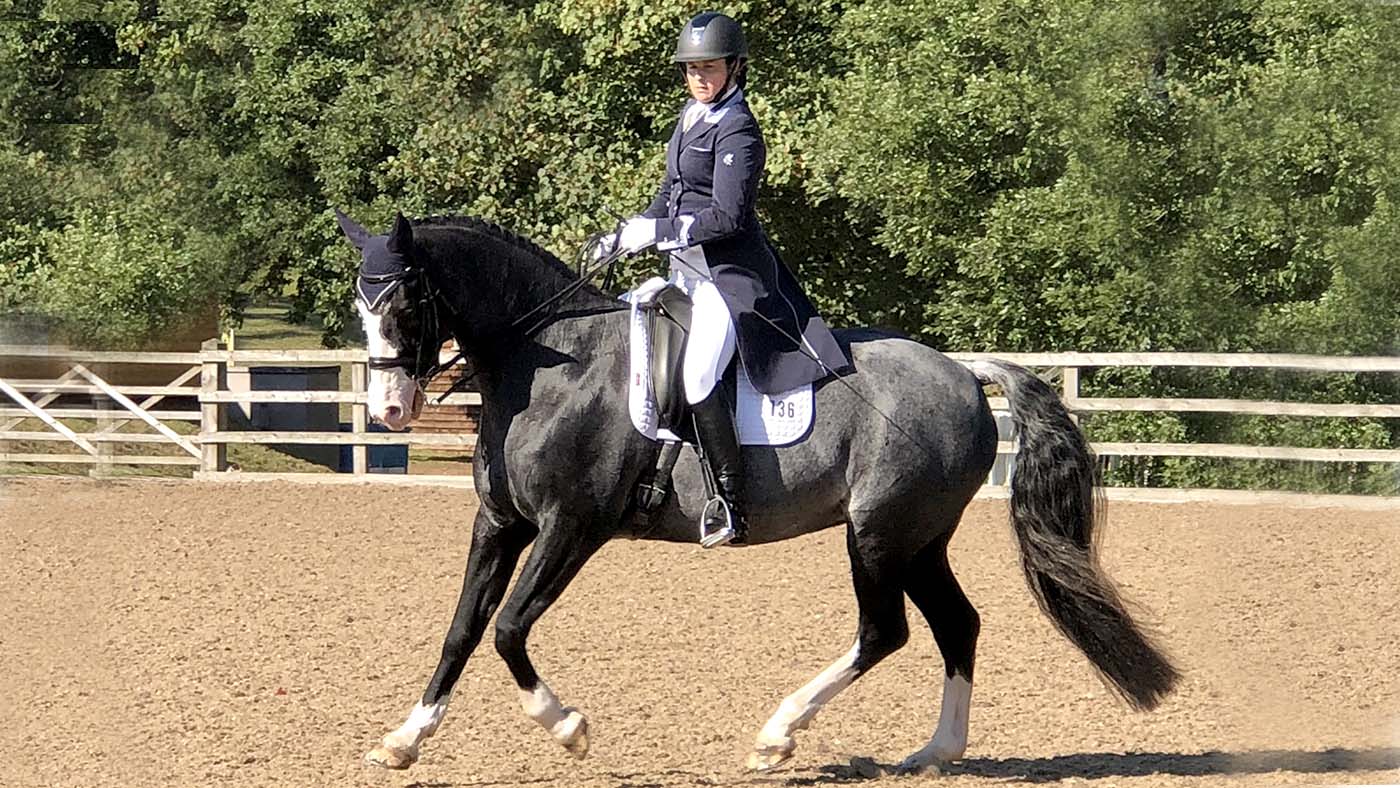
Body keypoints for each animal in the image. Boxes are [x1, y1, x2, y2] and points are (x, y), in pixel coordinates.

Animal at [336, 210, 1180, 774]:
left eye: (406, 302)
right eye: (359, 305)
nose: (389, 412)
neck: (552, 366)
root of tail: (962, 371)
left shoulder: (572, 526)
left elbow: (509, 628)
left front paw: (569, 726)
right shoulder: (500, 524)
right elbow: (462, 629)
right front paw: (404, 740)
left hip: (878, 534)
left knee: (886, 631)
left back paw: (778, 736)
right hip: (918, 540)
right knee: (956, 625)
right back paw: (934, 751)